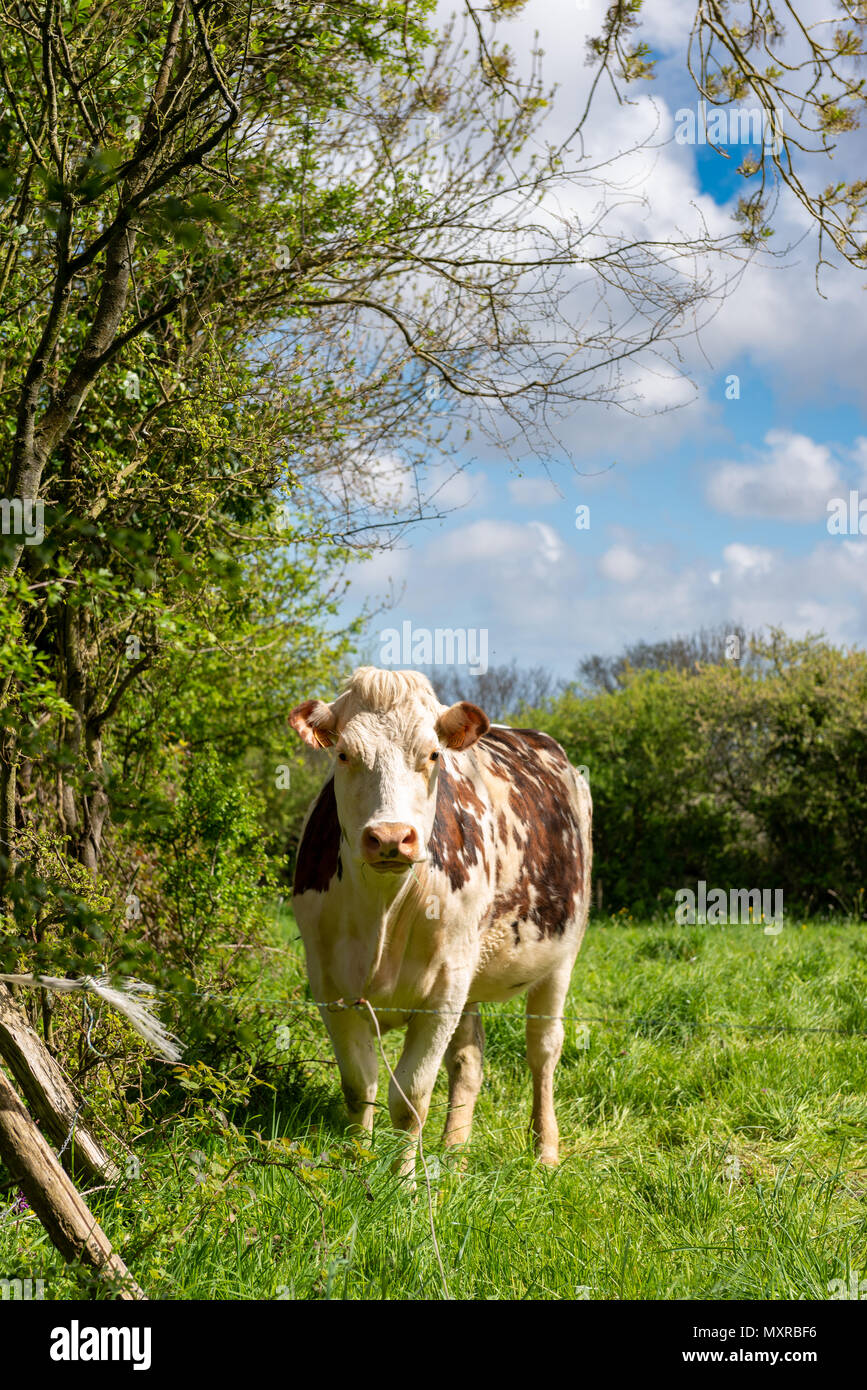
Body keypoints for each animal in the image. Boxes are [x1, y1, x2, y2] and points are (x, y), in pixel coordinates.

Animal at [288, 666, 591, 1171]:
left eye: (432, 754)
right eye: (345, 754)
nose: (391, 837)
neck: (383, 910)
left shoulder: (443, 991)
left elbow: (409, 1096)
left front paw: (402, 1181)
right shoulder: (330, 986)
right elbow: (359, 1085)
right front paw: (358, 1164)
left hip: (559, 956)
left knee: (543, 1050)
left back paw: (545, 1150)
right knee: (468, 1060)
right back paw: (455, 1152)